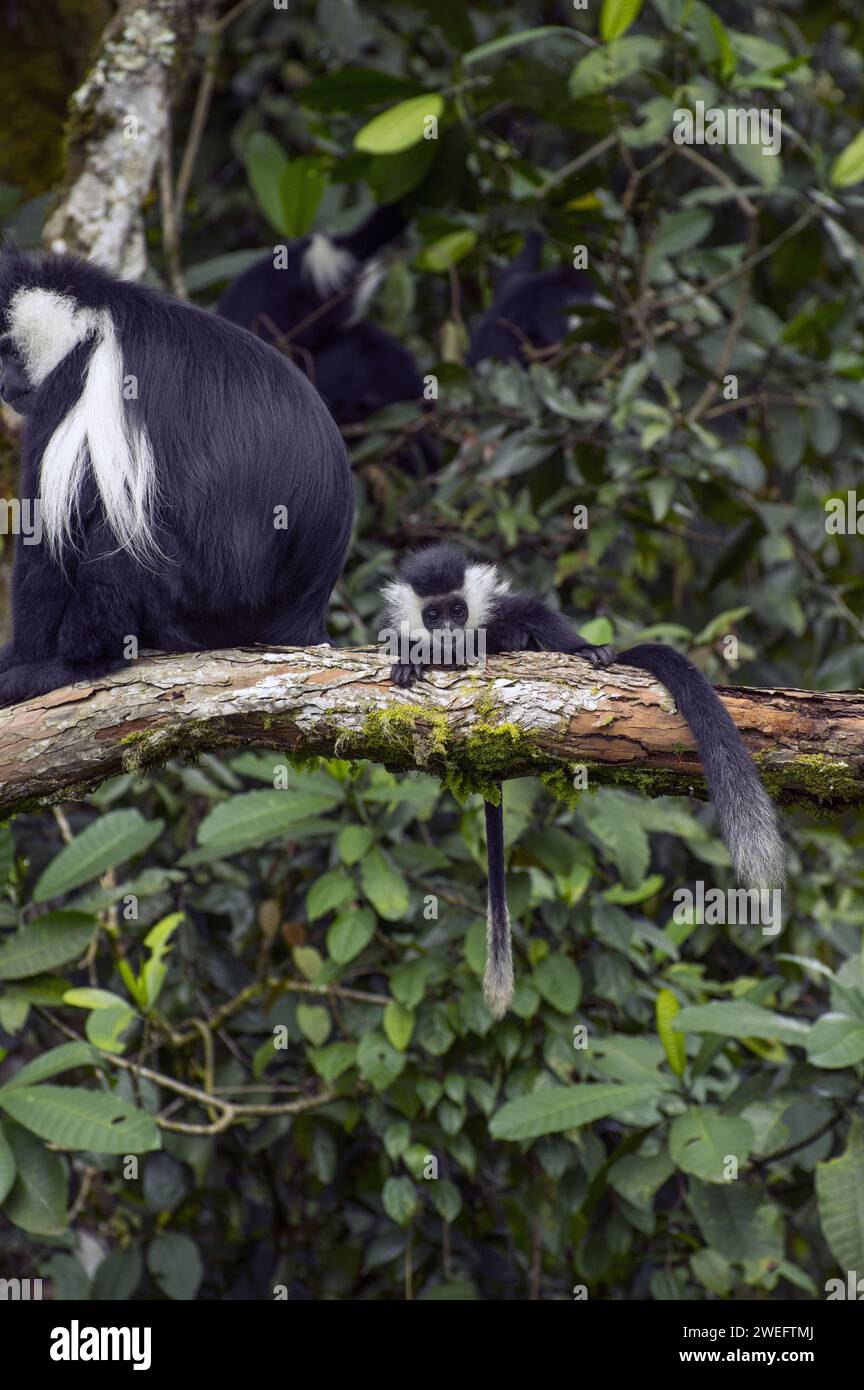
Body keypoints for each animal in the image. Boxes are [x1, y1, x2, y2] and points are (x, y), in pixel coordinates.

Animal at [0, 250, 355, 706]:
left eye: (6, 349)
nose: (3, 384)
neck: (97, 318)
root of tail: (303, 615)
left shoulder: (75, 379)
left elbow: (47, 537)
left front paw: (23, 662)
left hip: (204, 602)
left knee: (116, 536)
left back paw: (81, 663)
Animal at [383, 544, 788, 1023]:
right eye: (433, 616)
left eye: (457, 611)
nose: (447, 632)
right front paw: (409, 659)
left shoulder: (496, 611)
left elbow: (534, 613)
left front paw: (588, 648)